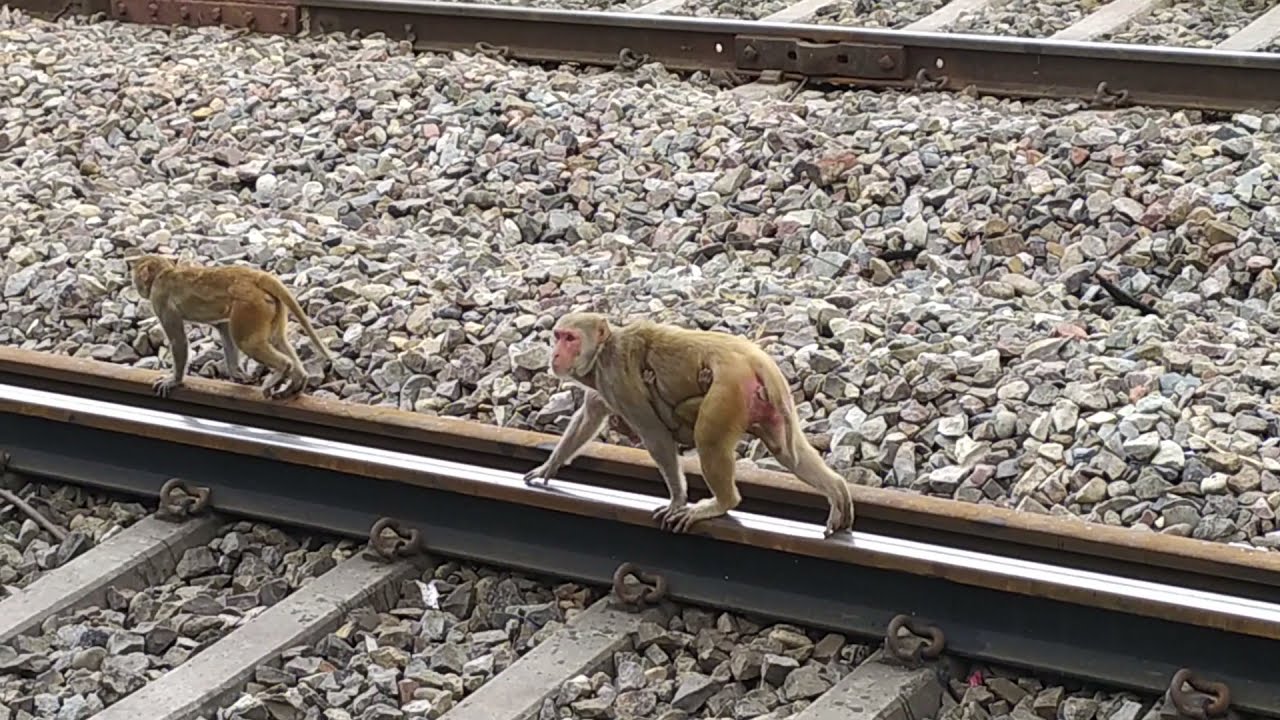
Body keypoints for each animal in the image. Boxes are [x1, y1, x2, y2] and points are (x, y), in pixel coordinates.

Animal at [128, 254, 334, 400]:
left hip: (251, 305)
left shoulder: (160, 298)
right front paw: (236, 372)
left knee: (248, 343)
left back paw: (285, 368)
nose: (137, 286)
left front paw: (174, 381)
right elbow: (222, 327)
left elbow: (178, 340)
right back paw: (298, 379)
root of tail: (256, 276)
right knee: (276, 339)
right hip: (272, 305)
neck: (164, 273)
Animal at [522, 312, 855, 537]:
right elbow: (589, 417)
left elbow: (654, 433)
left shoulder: (615, 377)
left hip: (729, 389)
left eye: (571, 338)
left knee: (709, 441)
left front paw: (677, 500)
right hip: (772, 403)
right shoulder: (604, 383)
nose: (555, 353)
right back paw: (837, 490)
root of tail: (755, 358)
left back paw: (721, 503)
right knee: (789, 453)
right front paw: (549, 466)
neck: (603, 351)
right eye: (558, 335)